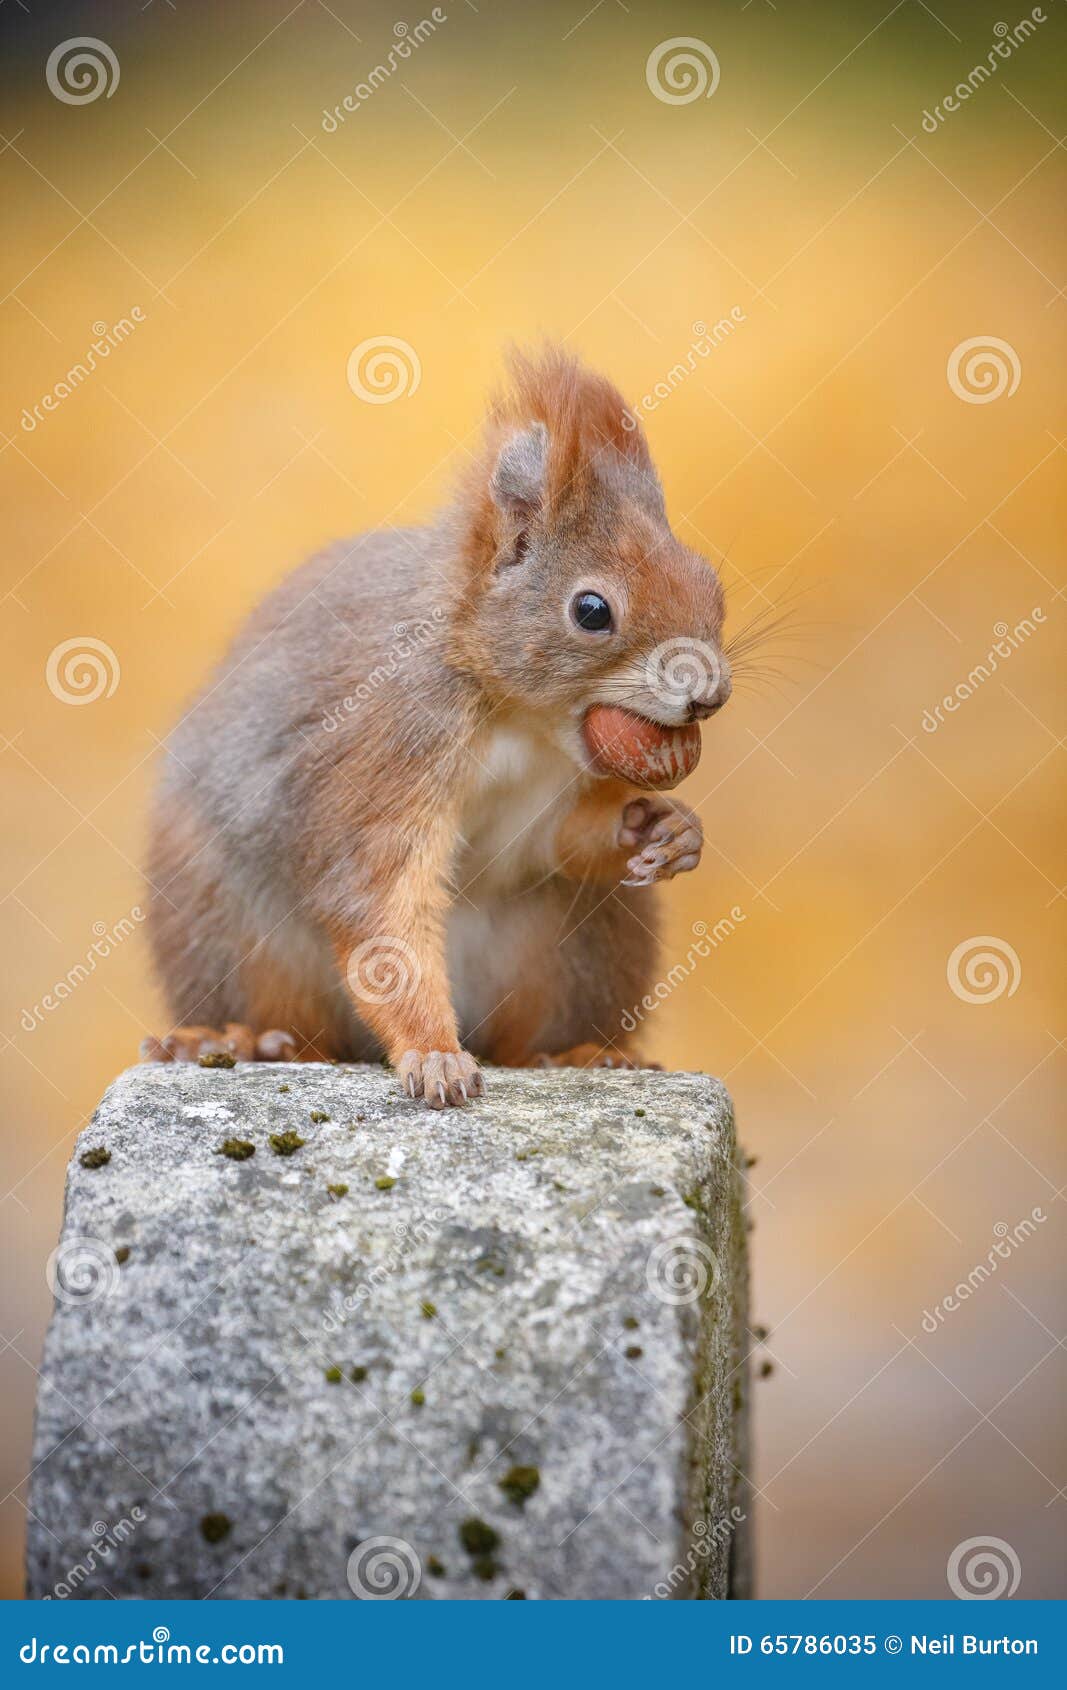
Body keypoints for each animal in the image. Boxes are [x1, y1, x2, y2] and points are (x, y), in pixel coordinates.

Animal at [142, 347, 732, 1106]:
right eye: (591, 610)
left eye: (709, 580)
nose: (710, 694)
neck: (522, 719)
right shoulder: (395, 733)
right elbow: (379, 895)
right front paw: (433, 1054)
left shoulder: (546, 795)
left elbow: (555, 840)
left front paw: (664, 828)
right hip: (223, 922)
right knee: (290, 1021)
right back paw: (240, 1040)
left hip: (580, 948)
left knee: (524, 1035)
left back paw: (579, 1055)